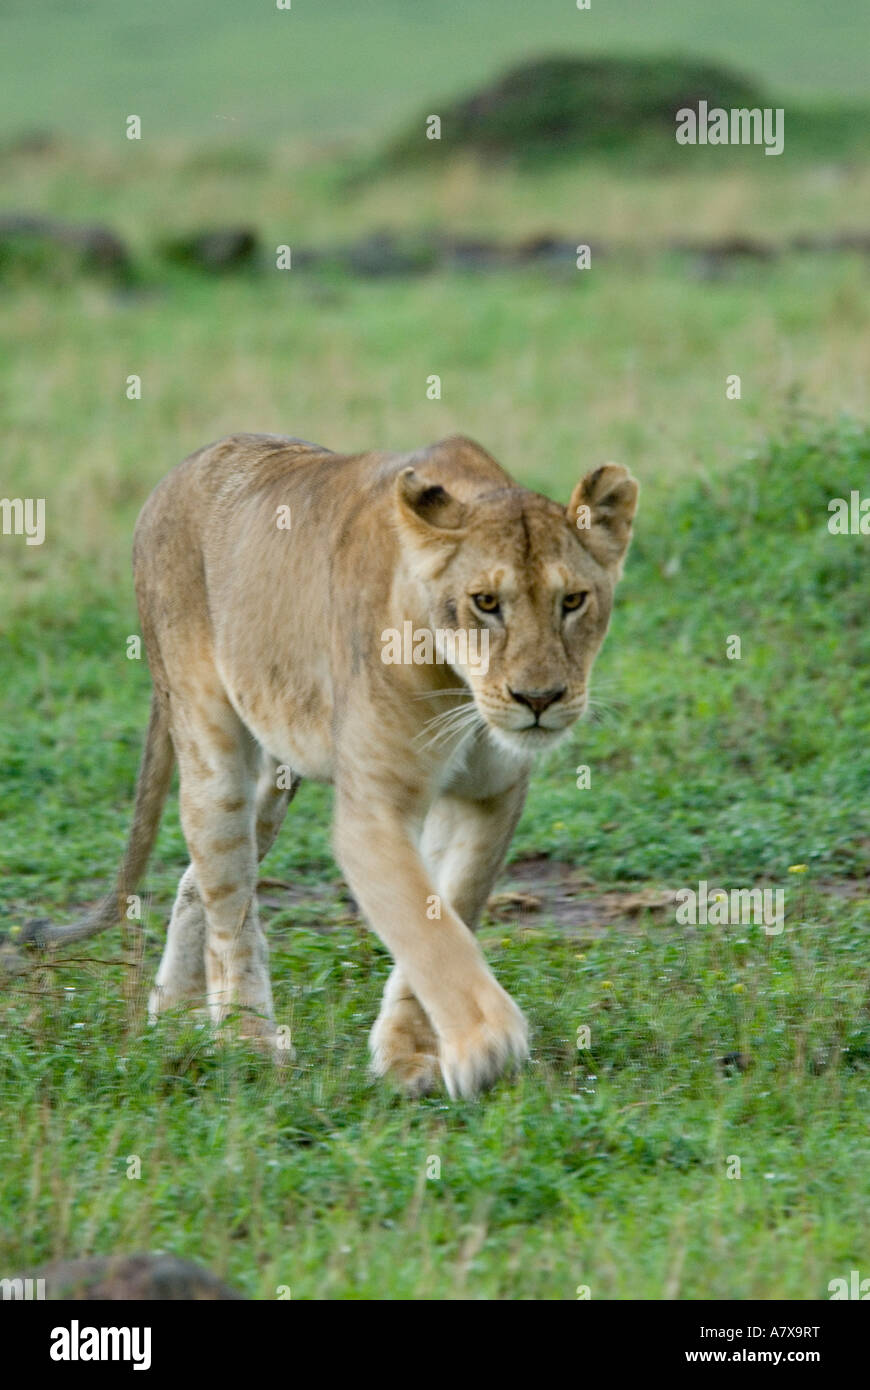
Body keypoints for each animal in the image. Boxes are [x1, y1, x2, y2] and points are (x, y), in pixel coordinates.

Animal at [17, 433, 638, 1099]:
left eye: (572, 601)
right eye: (486, 603)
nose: (539, 699)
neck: (462, 691)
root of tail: (182, 468)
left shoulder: (489, 798)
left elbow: (450, 908)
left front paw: (409, 1054)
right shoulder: (374, 807)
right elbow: (428, 930)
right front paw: (486, 1044)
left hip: (275, 774)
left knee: (196, 881)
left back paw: (176, 1018)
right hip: (211, 747)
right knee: (228, 899)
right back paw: (244, 1040)